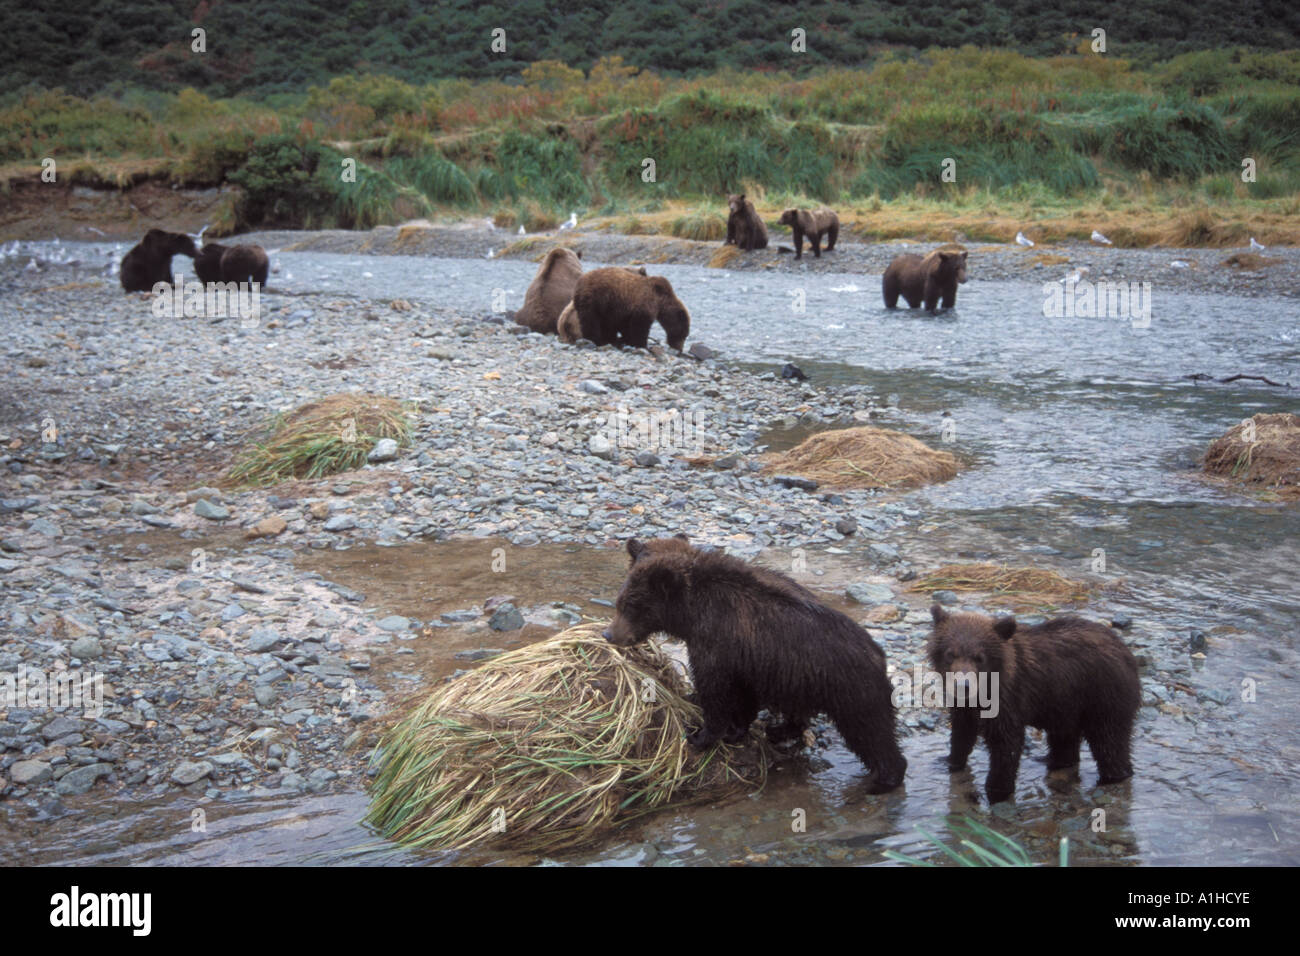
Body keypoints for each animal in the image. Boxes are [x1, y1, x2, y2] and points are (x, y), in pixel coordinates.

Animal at [604, 536, 908, 792]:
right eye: (620, 600)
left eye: (630, 605)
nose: (609, 634)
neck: (692, 611)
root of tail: (878, 655)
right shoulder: (747, 660)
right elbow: (742, 696)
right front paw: (736, 729)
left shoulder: (717, 643)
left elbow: (716, 691)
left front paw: (700, 735)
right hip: (799, 681)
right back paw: (780, 729)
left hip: (851, 691)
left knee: (870, 732)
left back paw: (884, 779)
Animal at [927, 605, 1141, 804]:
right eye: (950, 654)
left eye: (979, 657)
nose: (962, 685)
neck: (985, 691)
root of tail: (1126, 651)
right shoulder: (965, 708)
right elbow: (962, 733)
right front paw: (950, 761)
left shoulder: (1009, 700)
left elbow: (1006, 744)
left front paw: (997, 789)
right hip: (1066, 704)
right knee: (1065, 738)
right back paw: (1055, 761)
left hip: (1103, 696)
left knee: (1110, 742)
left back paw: (1113, 777)